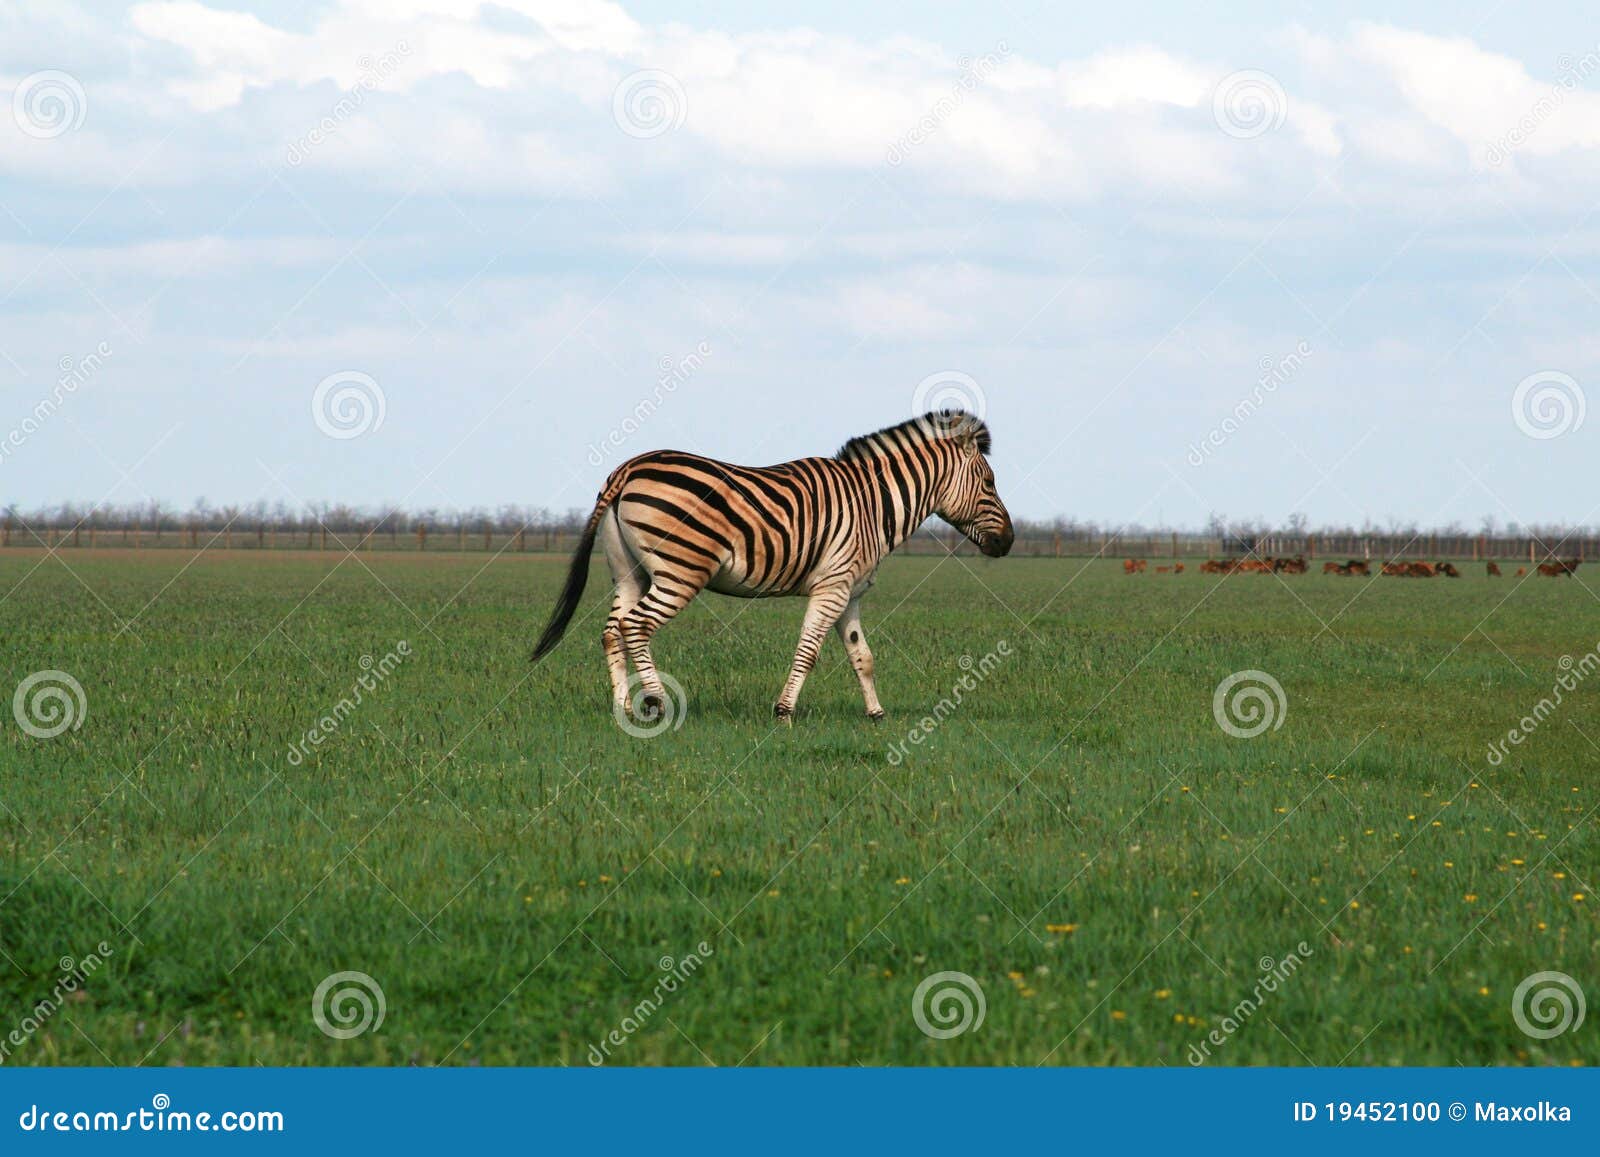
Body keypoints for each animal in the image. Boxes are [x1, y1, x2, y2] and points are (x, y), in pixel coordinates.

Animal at [531, 410, 1014, 721]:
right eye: (990, 483)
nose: (1009, 542)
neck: (873, 504)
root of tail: (627, 468)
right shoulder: (832, 586)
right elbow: (809, 651)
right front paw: (784, 712)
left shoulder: (849, 592)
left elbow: (862, 655)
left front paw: (876, 714)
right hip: (681, 571)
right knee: (636, 625)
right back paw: (656, 701)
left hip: (629, 571)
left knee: (612, 630)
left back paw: (624, 707)